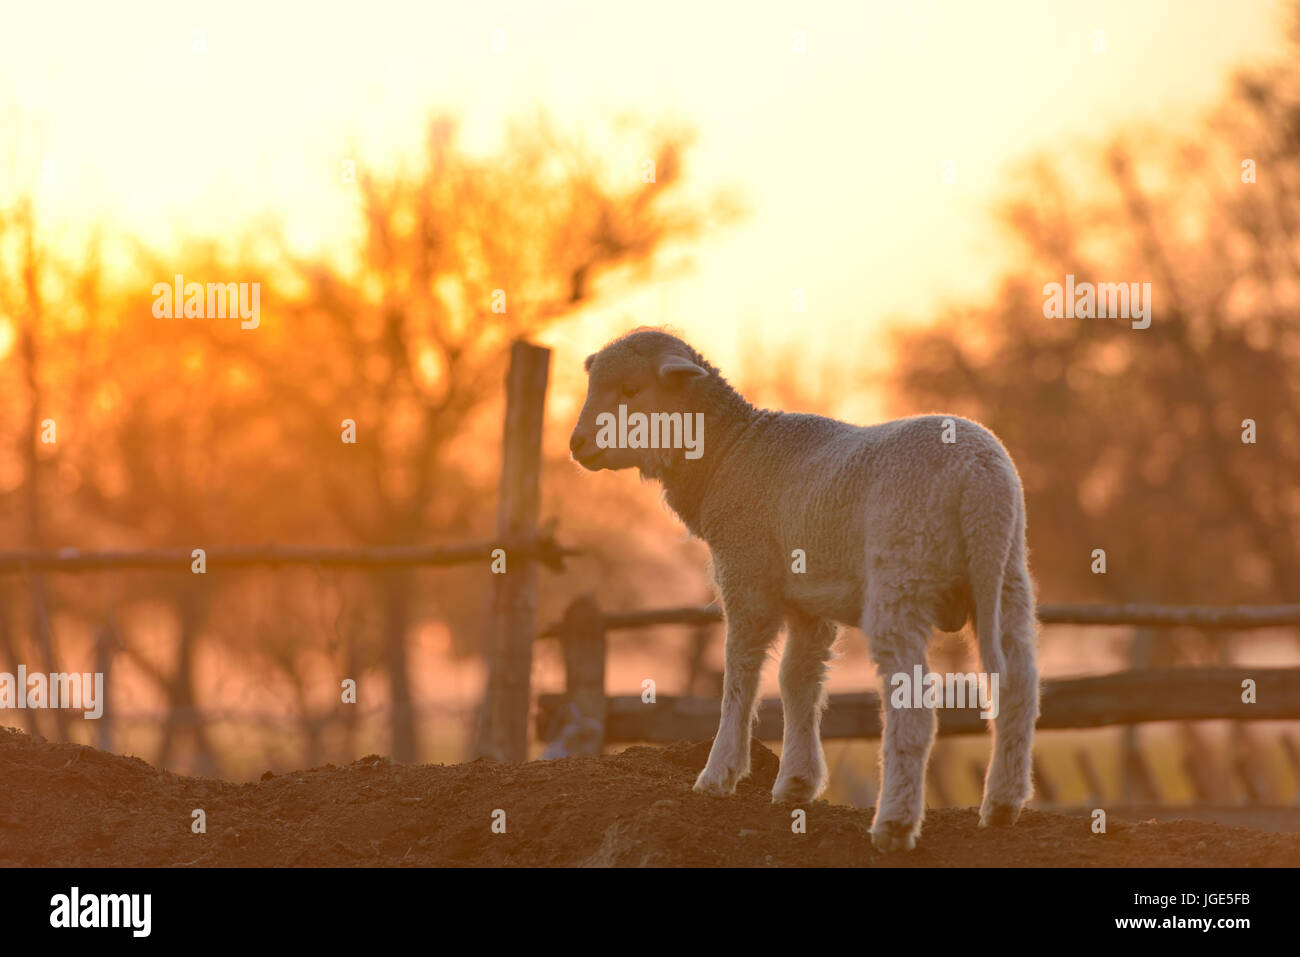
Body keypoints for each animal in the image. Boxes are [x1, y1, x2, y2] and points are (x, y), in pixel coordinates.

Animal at [568, 328, 1040, 851]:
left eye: (630, 390)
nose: (577, 444)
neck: (728, 452)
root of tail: (979, 476)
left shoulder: (746, 574)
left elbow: (741, 676)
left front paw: (718, 775)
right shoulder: (807, 601)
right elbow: (797, 680)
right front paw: (795, 782)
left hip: (904, 570)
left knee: (914, 704)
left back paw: (894, 824)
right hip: (1006, 575)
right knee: (1019, 687)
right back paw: (1002, 805)